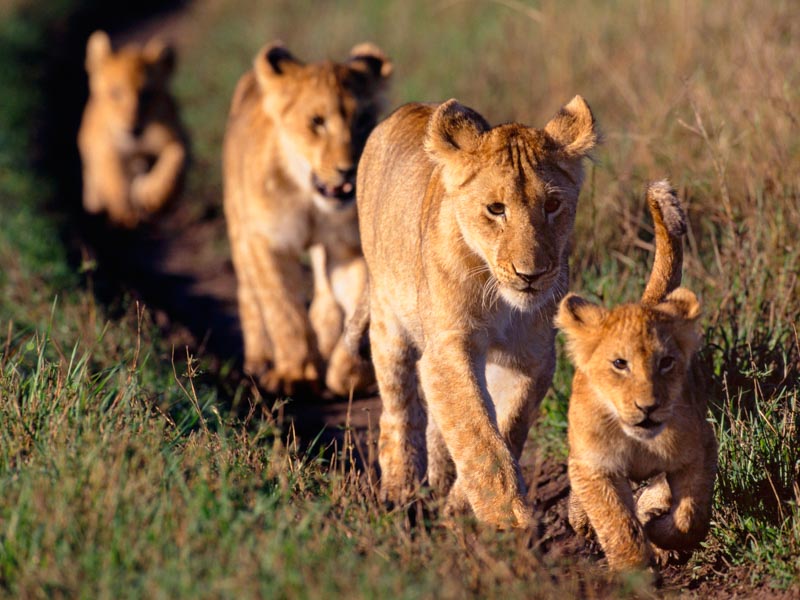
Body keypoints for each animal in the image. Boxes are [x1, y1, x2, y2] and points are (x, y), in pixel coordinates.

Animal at [78, 30, 186, 228]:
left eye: (146, 94)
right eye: (115, 93)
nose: (133, 130)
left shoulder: (177, 138)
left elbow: (176, 161)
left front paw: (152, 195)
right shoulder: (106, 148)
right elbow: (113, 177)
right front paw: (125, 212)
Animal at [223, 41, 391, 395]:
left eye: (362, 120)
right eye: (317, 121)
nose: (348, 169)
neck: (311, 200)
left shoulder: (349, 247)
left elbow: (356, 301)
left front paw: (350, 373)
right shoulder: (267, 242)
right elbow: (282, 306)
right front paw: (296, 375)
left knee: (325, 292)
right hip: (238, 225)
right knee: (249, 290)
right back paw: (259, 359)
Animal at [354, 97, 598, 527]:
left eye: (552, 205)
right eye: (496, 209)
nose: (531, 274)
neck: (501, 301)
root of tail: (407, 108)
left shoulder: (532, 358)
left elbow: (506, 422)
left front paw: (463, 506)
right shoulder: (450, 345)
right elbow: (476, 430)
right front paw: (508, 516)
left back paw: (439, 480)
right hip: (387, 318)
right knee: (399, 406)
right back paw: (400, 487)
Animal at [555, 181, 717, 573]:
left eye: (666, 363)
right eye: (619, 364)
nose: (648, 407)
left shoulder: (700, 447)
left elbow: (691, 515)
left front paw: (661, 533)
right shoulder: (596, 467)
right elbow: (616, 523)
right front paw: (633, 569)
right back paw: (582, 520)